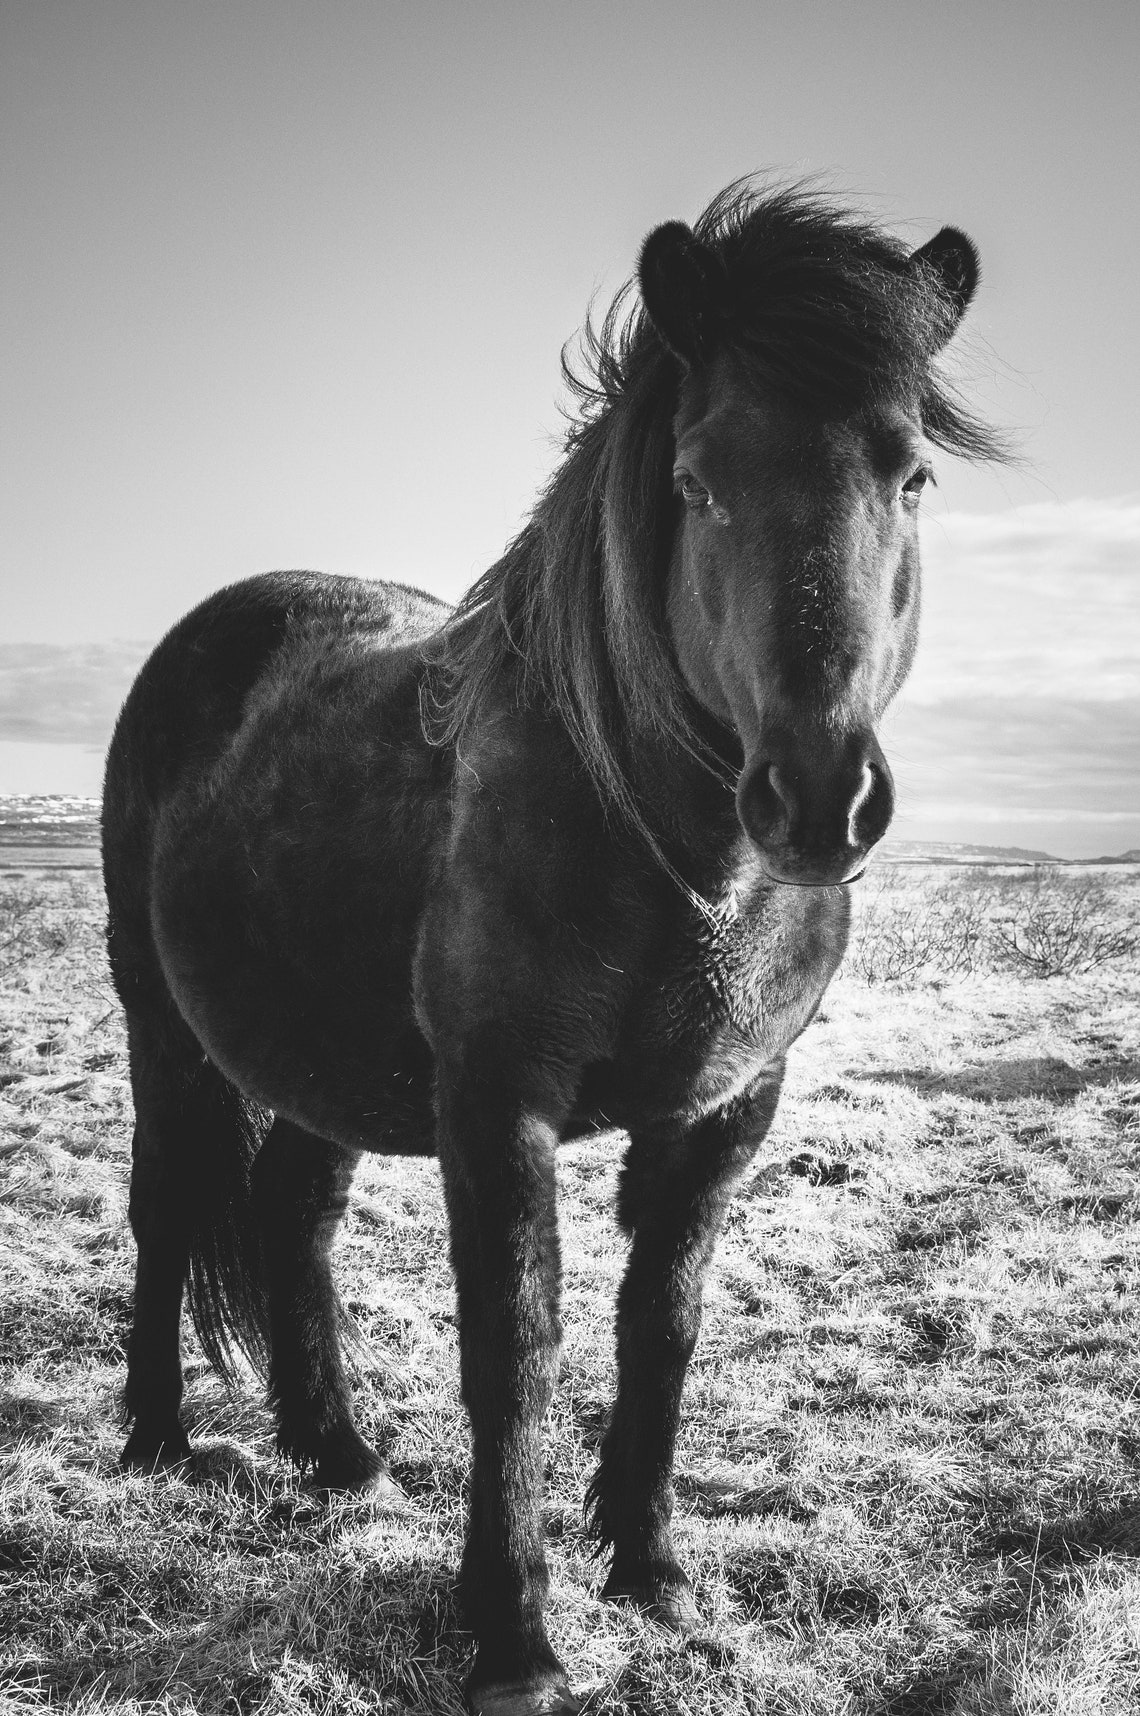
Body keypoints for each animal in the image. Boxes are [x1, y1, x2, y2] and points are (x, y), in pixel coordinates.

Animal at [102, 181, 1001, 1716]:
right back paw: (158, 1439)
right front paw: (514, 1637)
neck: (665, 854)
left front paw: (650, 1569)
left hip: (325, 1061)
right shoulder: (496, 1107)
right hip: (162, 1028)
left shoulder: (724, 1113)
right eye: (697, 480)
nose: (819, 799)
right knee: (168, 1200)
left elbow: (664, 1327)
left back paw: (336, 1454)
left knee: (292, 1215)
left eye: (912, 479)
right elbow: (516, 1349)